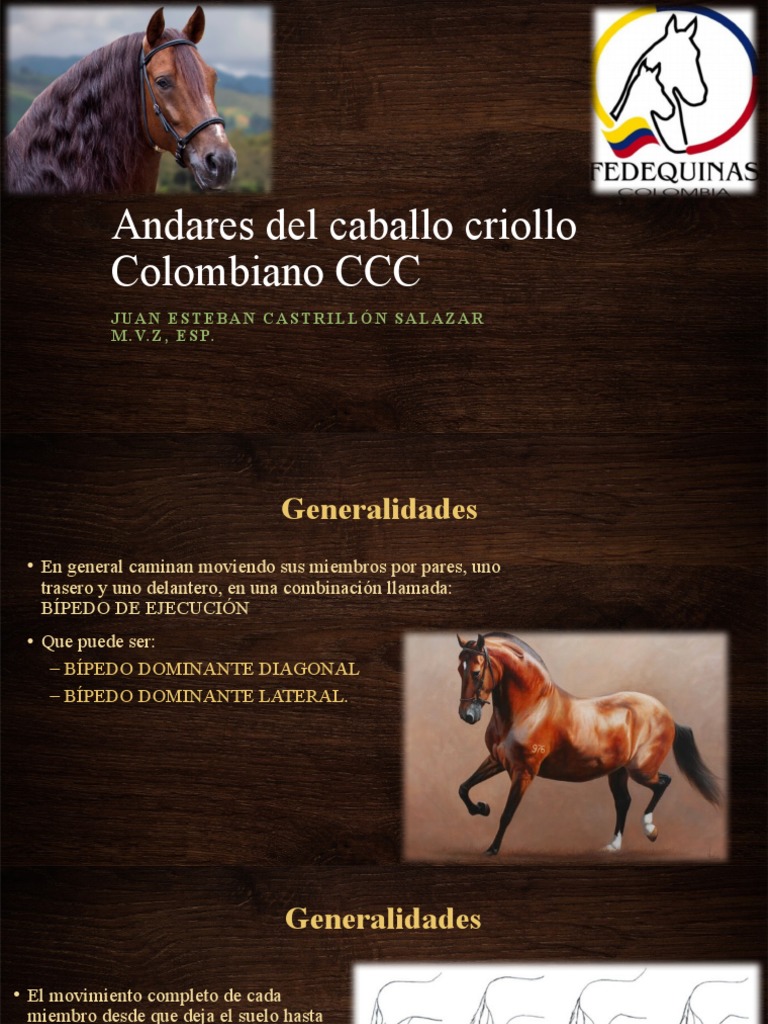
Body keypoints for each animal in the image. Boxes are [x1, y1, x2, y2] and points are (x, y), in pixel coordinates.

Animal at [456, 633, 721, 856]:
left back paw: (650, 830)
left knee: (663, 783)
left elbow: (507, 814)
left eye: (477, 672)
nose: (467, 715)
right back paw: (613, 845)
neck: (531, 708)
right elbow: (464, 788)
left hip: (642, 770)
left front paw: (492, 848)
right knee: (624, 801)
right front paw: (480, 808)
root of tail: (667, 715)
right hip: (618, 772)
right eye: (460, 669)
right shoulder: (497, 760)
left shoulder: (524, 772)